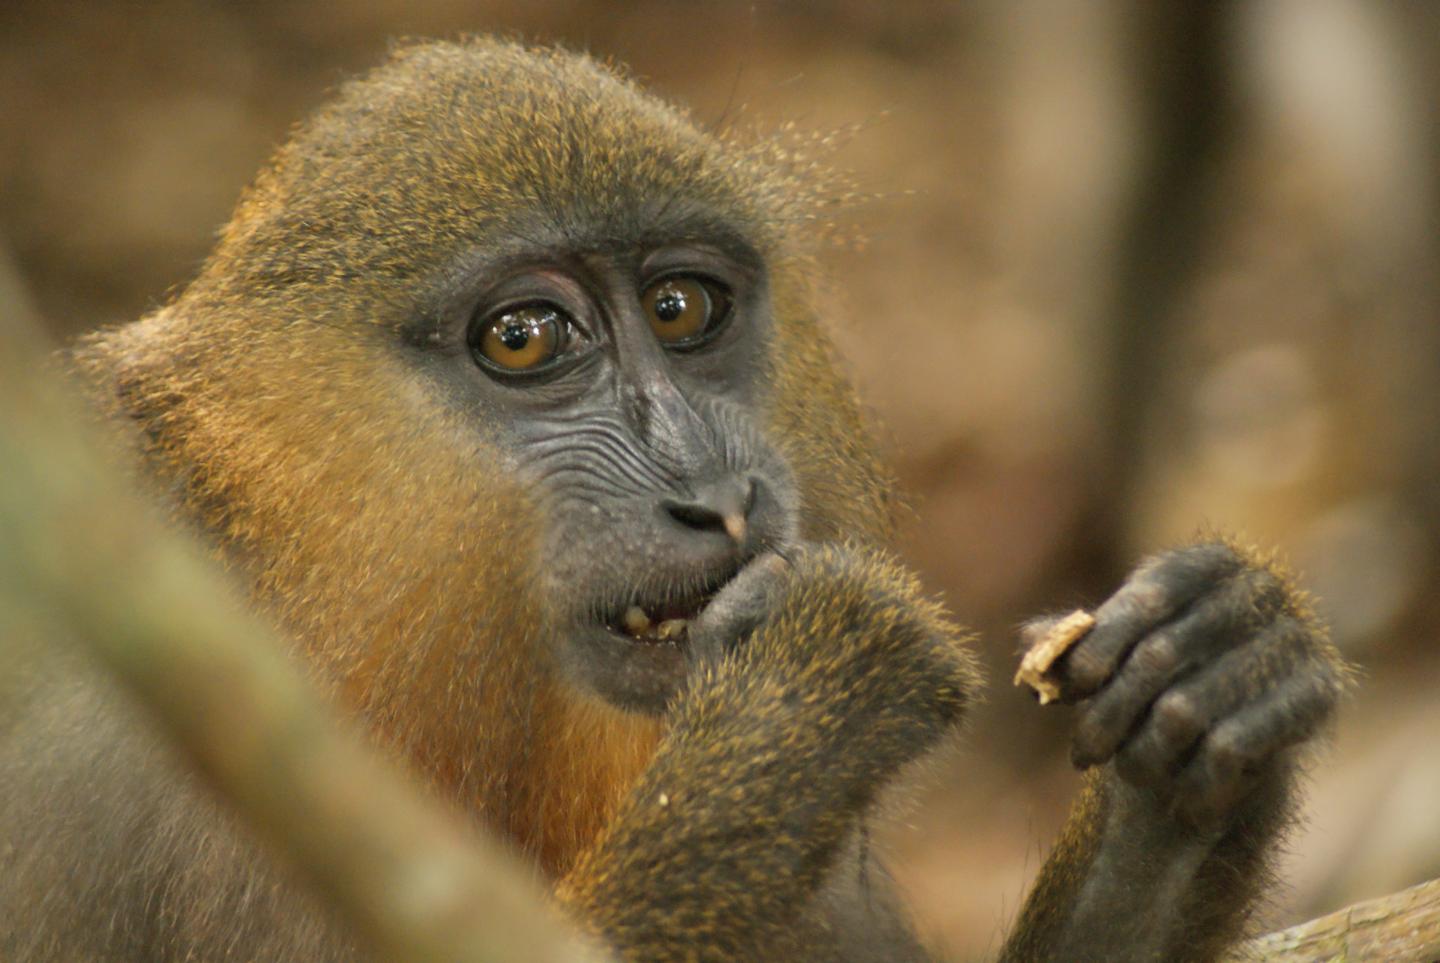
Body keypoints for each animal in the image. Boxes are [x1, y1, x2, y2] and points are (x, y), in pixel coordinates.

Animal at [0, 37, 1342, 961]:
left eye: (683, 309)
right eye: (526, 338)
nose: (717, 493)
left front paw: (1209, 674)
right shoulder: (111, 739)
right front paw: (806, 696)